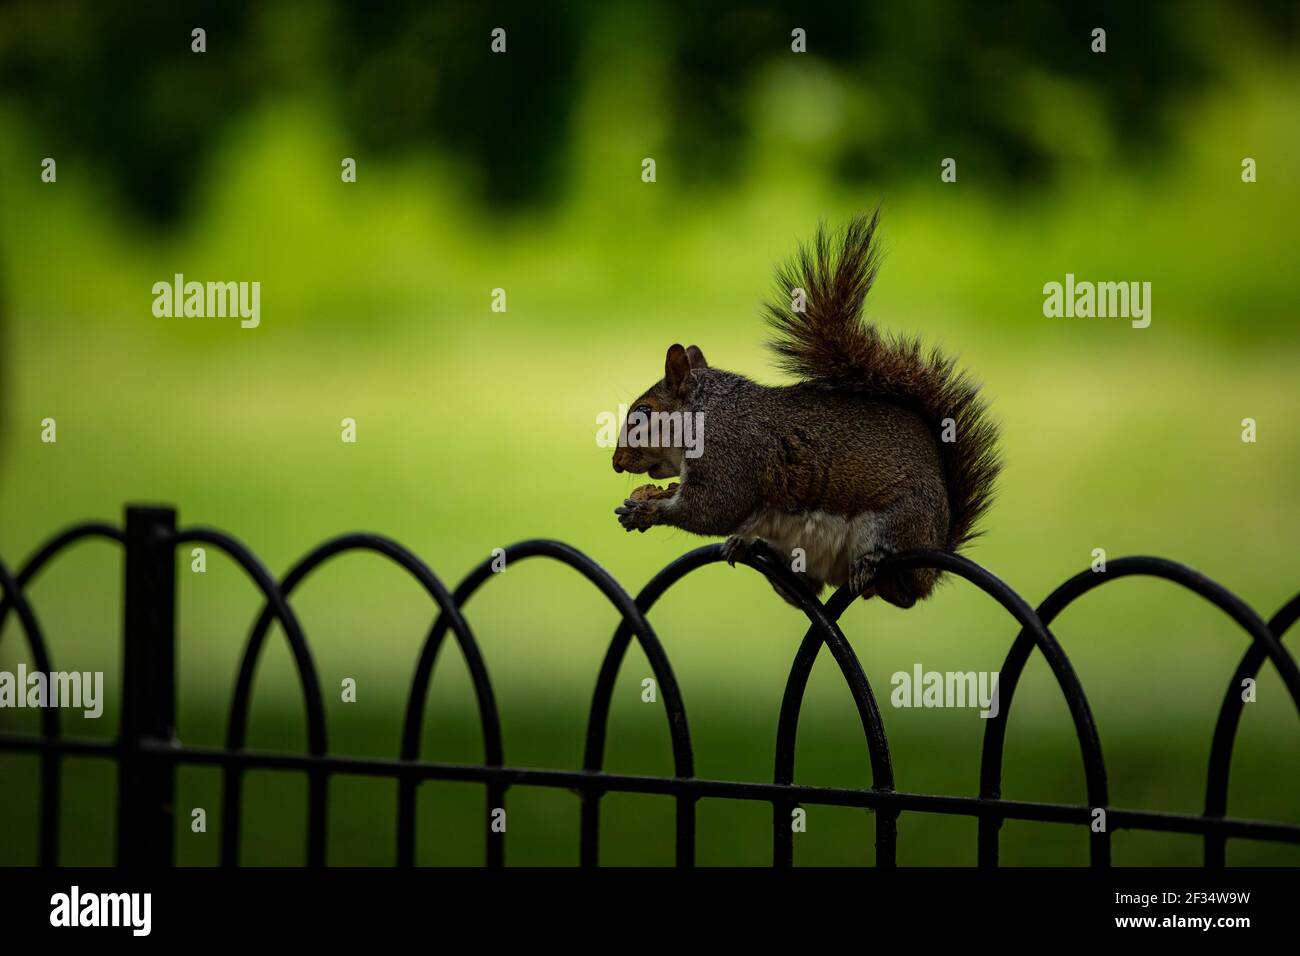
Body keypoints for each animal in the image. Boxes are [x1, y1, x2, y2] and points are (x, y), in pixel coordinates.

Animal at [612, 210, 1001, 608]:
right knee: (806, 590)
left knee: (903, 591)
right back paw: (754, 549)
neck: (705, 413)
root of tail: (937, 552)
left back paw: (872, 565)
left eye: (643, 413)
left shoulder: (729, 455)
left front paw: (646, 510)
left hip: (896, 525)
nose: (617, 462)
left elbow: (714, 508)